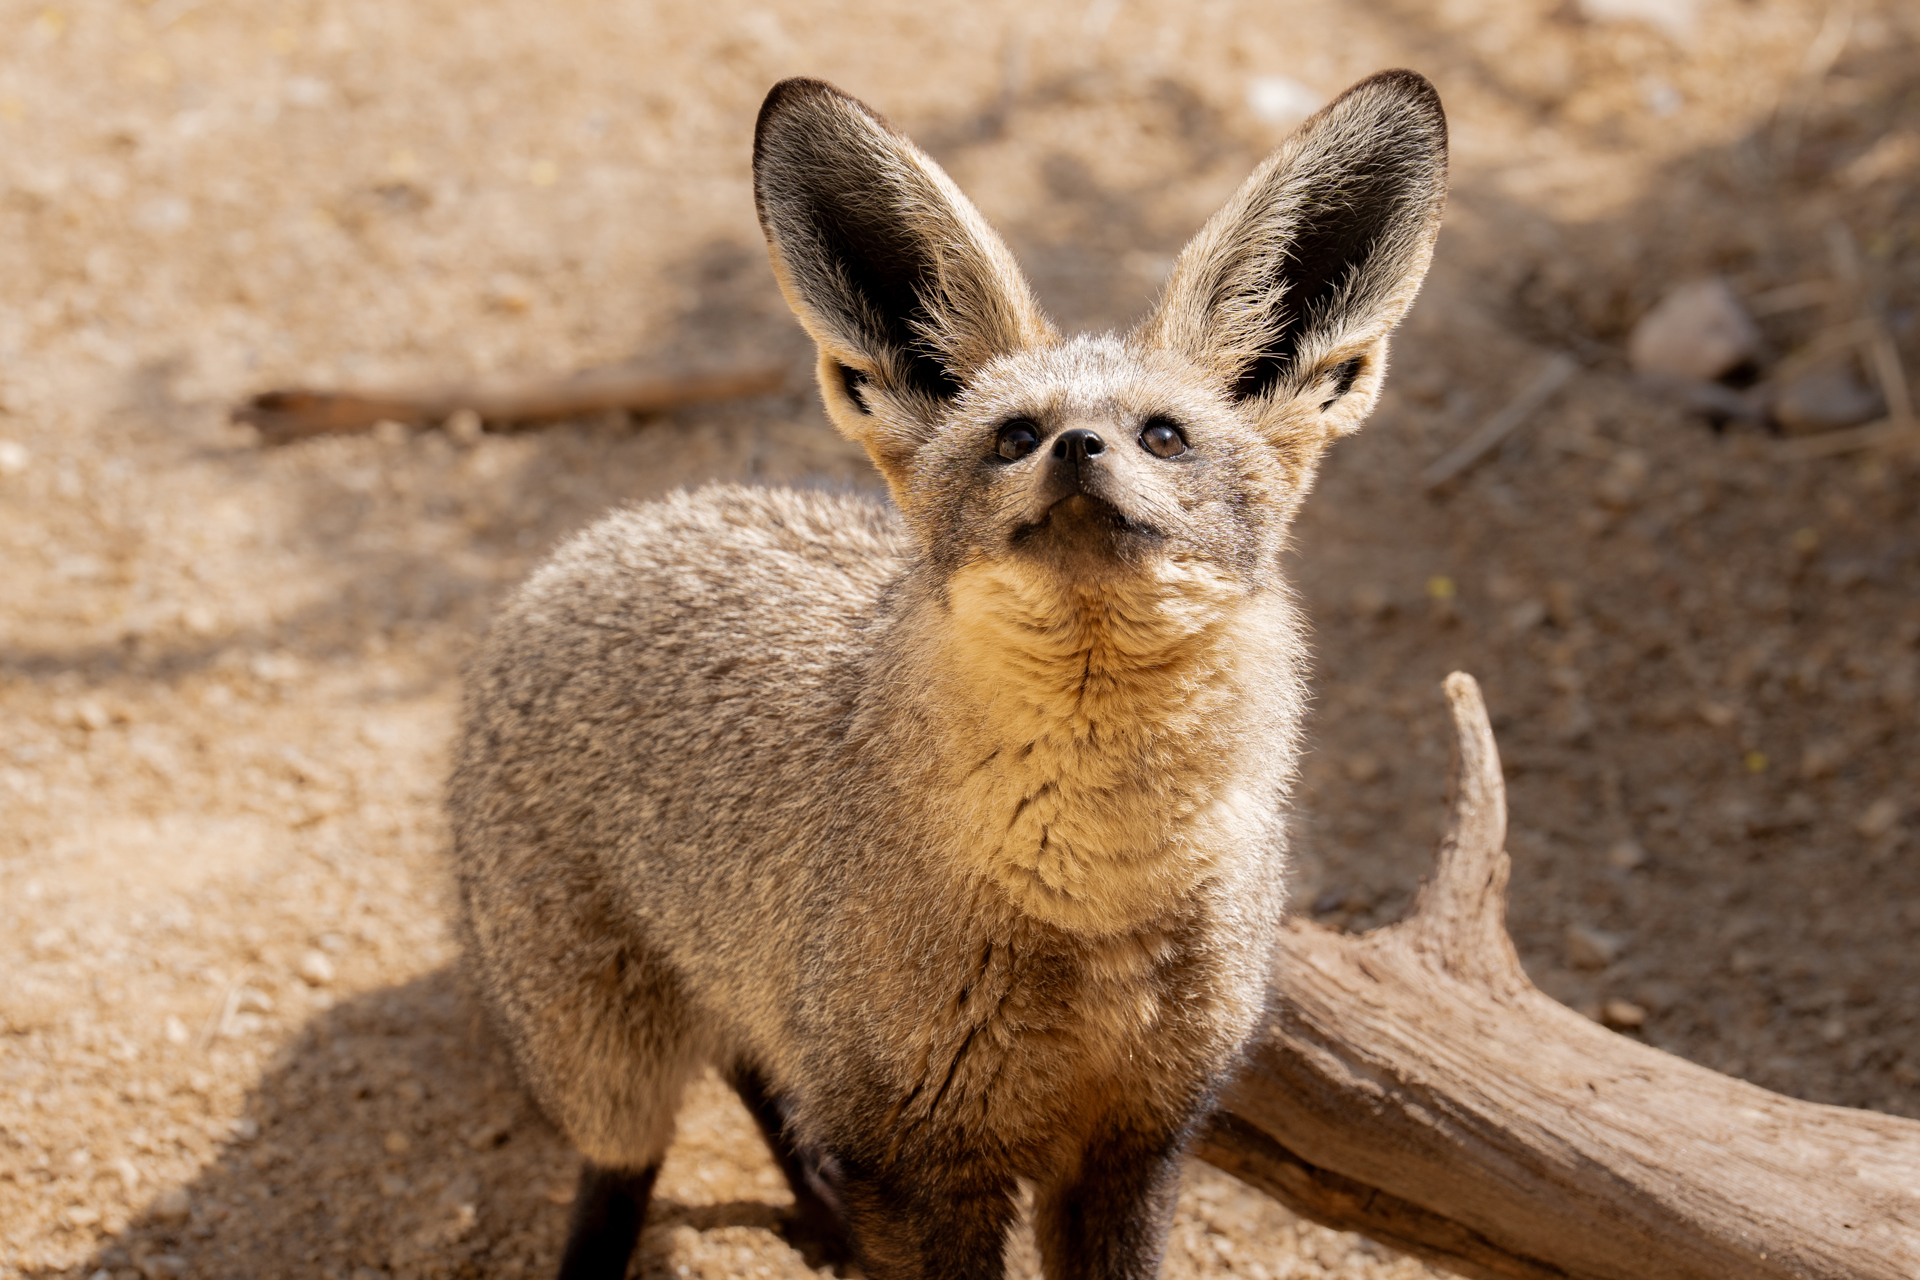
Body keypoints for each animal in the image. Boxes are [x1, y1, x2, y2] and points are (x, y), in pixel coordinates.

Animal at [449, 70, 1446, 1280]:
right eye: (1014, 437)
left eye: (1163, 436)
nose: (1077, 448)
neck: (1096, 905)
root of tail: (601, 533)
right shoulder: (912, 1146)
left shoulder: (1137, 1137)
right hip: (604, 1040)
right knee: (630, 1155)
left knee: (754, 1067)